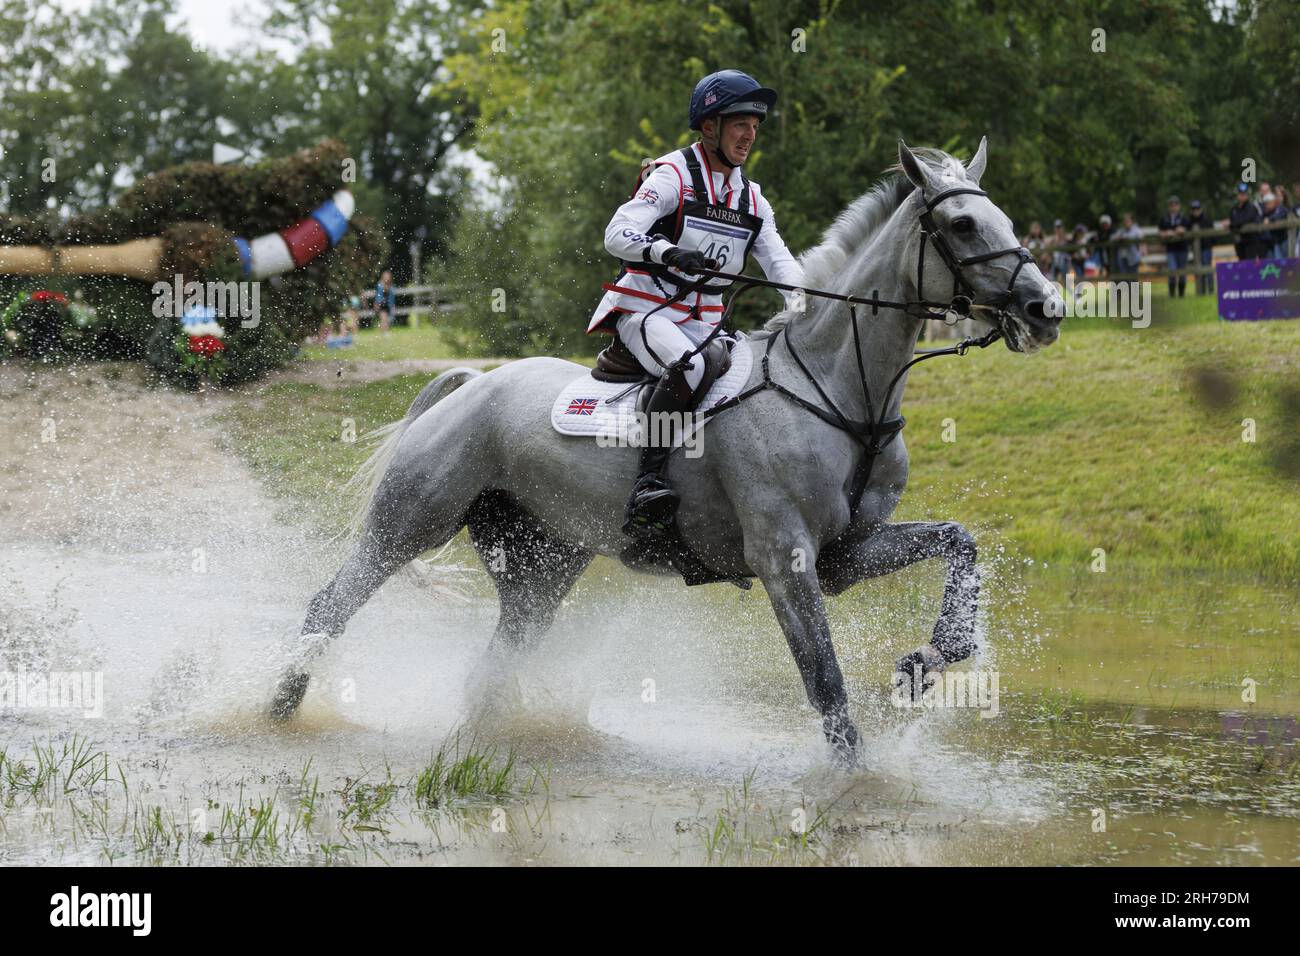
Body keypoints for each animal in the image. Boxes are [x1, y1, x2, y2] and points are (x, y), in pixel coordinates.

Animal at [269, 138, 1064, 761]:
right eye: (962, 223)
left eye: (1003, 217)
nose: (1047, 309)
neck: (843, 395)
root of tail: (474, 385)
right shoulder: (784, 559)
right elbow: (826, 685)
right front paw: (854, 782)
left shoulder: (845, 553)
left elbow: (959, 542)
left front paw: (929, 660)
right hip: (411, 524)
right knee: (330, 605)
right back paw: (278, 711)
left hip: (545, 560)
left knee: (498, 654)